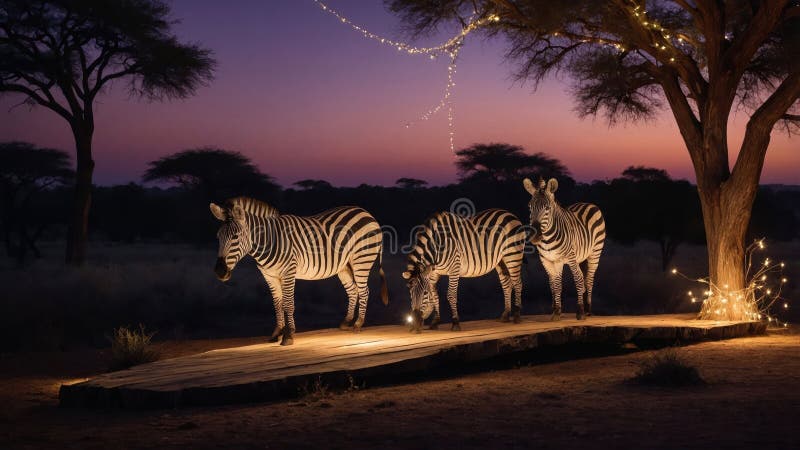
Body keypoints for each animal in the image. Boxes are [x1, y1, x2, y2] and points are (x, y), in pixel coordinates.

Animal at [210, 197, 389, 345]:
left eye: (236, 237)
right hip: (344, 265)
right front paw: (277, 333)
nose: (220, 271)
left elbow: (288, 303)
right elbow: (277, 303)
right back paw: (347, 322)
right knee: (353, 290)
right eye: (218, 236)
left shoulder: (289, 271)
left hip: (362, 259)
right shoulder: (270, 275)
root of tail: (366, 213)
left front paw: (289, 335)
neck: (268, 240)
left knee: (364, 290)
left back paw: (358, 324)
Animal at [523, 177, 605, 321]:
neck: (547, 239)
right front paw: (556, 311)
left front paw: (579, 311)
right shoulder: (547, 260)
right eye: (530, 207)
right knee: (582, 277)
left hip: (595, 253)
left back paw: (588, 309)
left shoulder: (566, 258)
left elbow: (576, 280)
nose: (534, 236)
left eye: (547, 208)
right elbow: (554, 284)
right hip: (580, 257)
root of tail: (588, 203)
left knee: (588, 279)